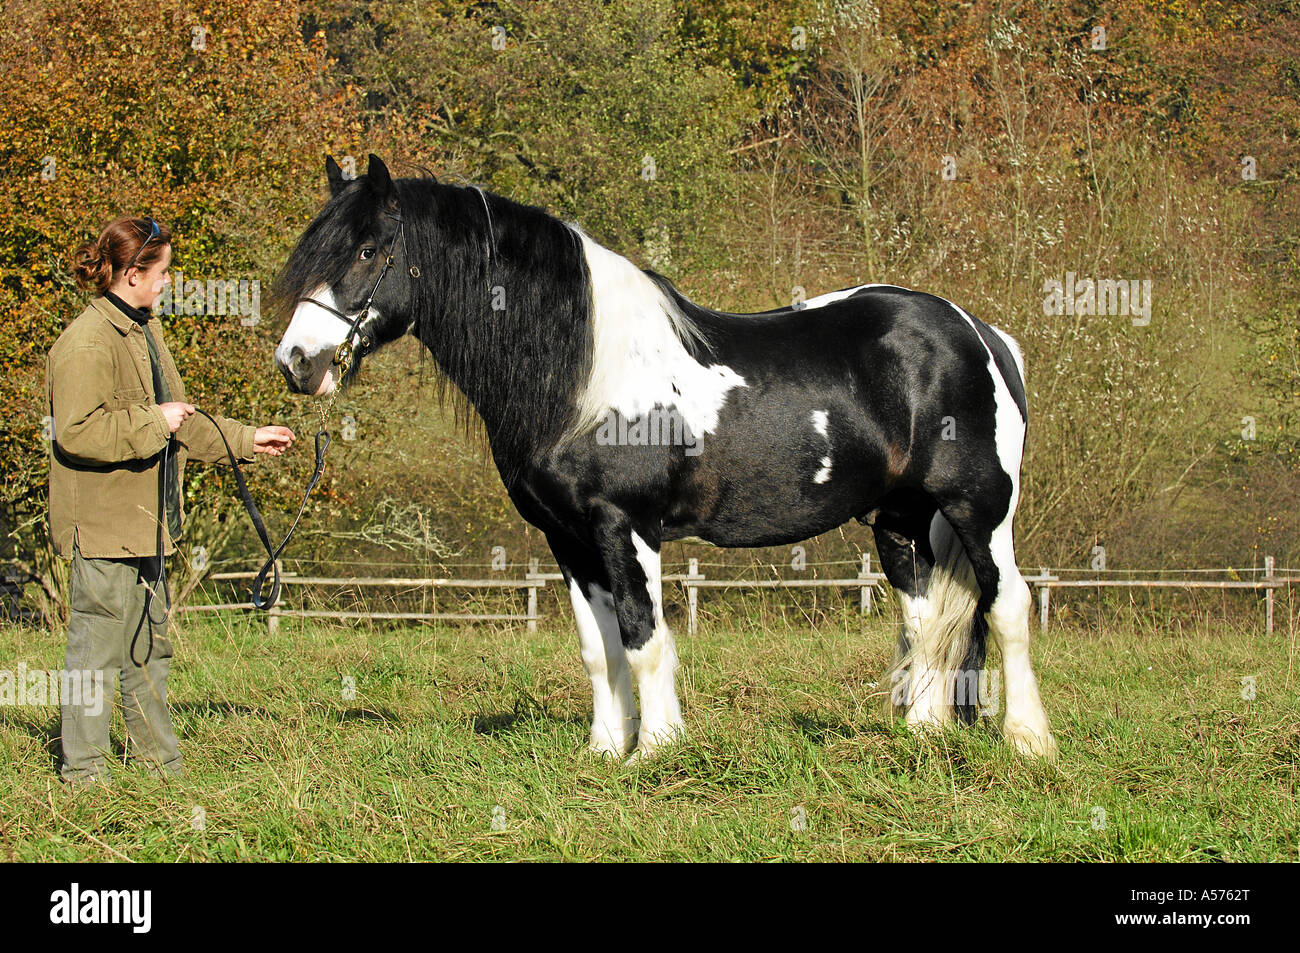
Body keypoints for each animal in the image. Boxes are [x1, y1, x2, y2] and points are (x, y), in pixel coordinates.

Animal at [273, 154, 1057, 762]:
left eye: (367, 250)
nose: (297, 362)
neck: (586, 371)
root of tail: (981, 333)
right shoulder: (568, 538)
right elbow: (600, 647)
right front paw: (602, 751)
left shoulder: (627, 526)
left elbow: (644, 636)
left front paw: (656, 750)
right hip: (900, 519)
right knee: (924, 619)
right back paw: (922, 736)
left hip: (980, 510)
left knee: (1008, 604)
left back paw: (1027, 741)